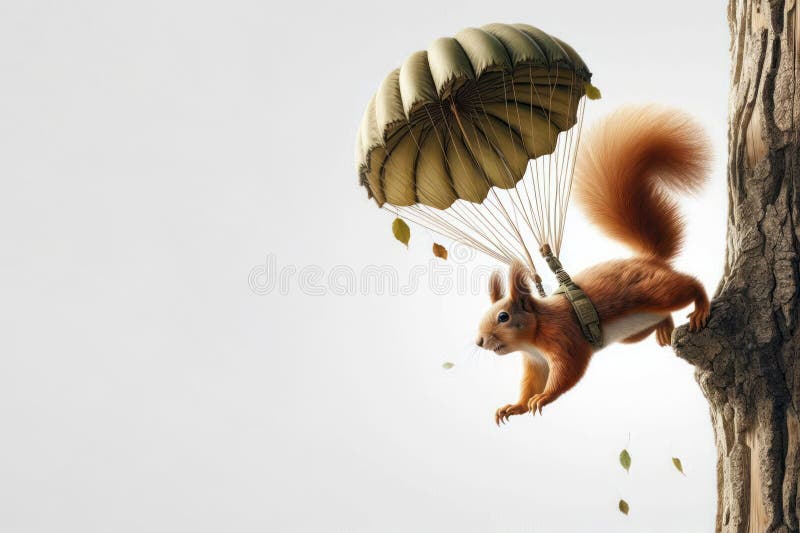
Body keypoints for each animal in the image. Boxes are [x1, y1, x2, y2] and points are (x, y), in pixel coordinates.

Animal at [475, 105, 713, 425]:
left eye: (503, 317)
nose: (479, 341)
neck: (532, 336)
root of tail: (647, 258)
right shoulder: (534, 362)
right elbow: (529, 384)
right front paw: (515, 406)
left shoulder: (564, 338)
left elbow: (567, 372)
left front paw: (543, 398)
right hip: (635, 331)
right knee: (662, 315)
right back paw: (664, 327)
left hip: (656, 290)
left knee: (689, 285)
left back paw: (700, 307)